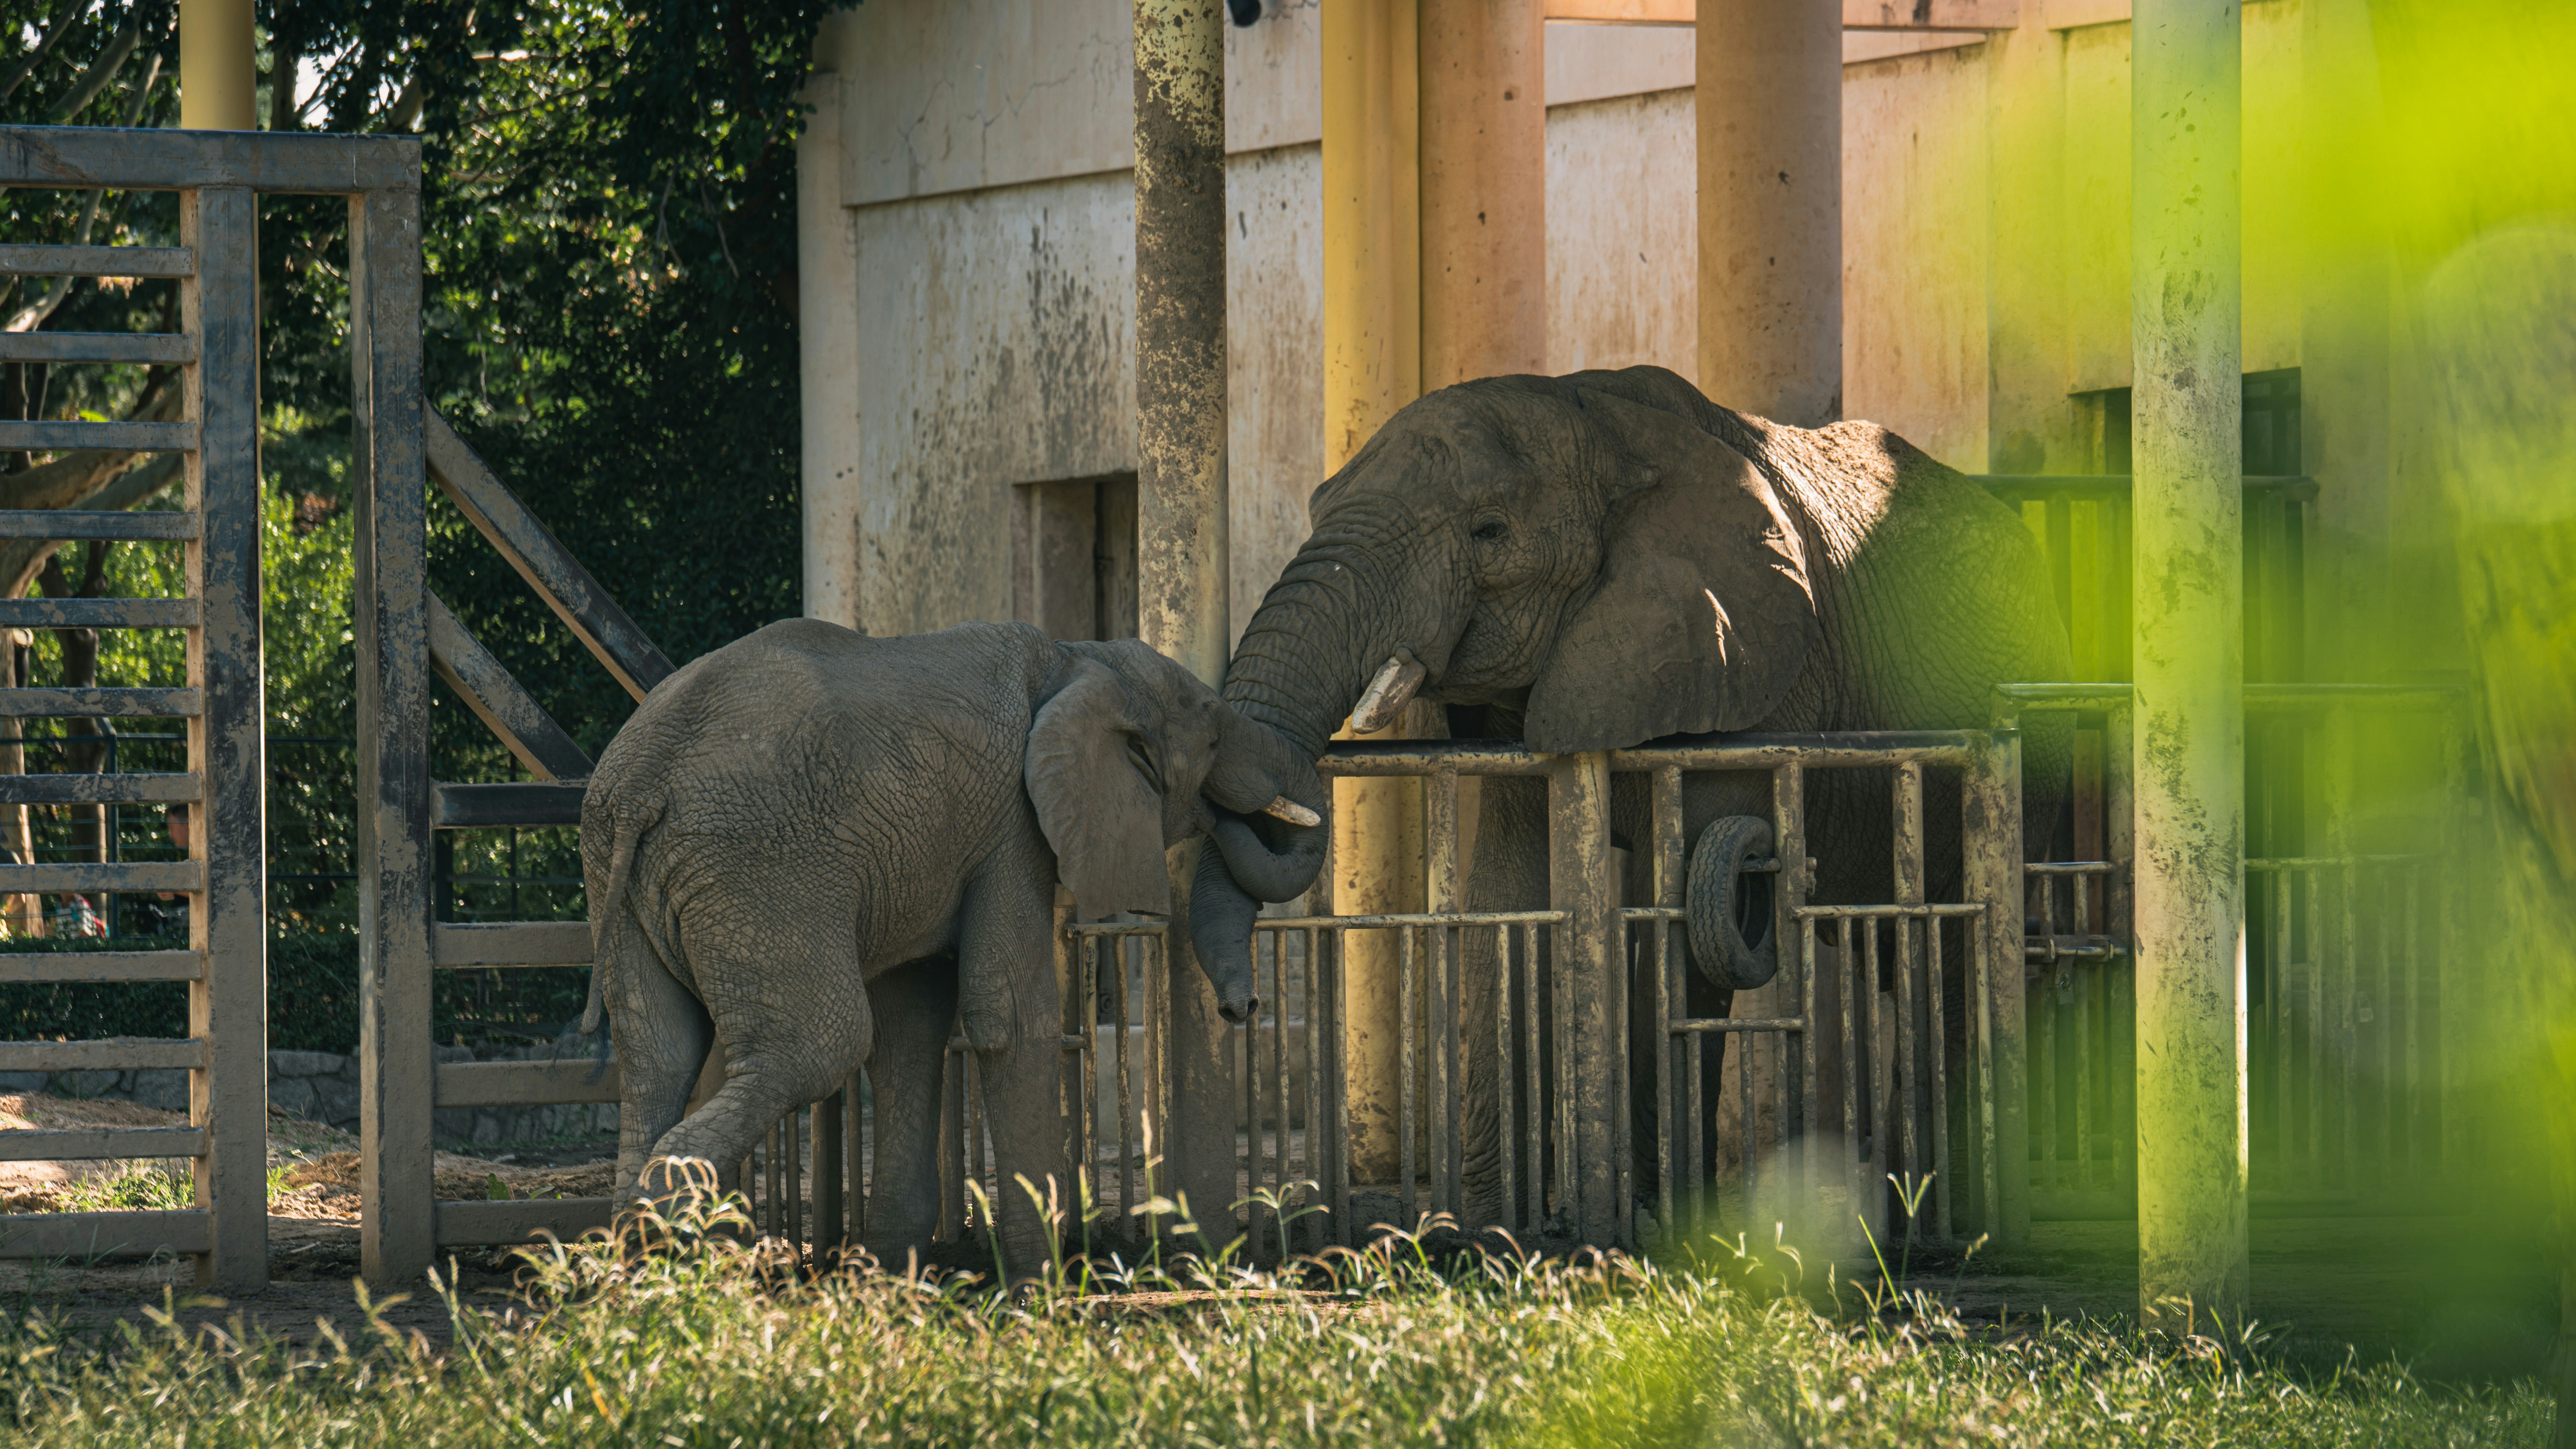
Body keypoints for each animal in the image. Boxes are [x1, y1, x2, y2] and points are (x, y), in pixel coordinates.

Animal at [578, 618, 1324, 1272]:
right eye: (1213, 729)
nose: (1243, 1009)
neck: (1079, 658)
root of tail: (641, 780)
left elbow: (910, 1026)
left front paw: (885, 1278)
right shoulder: (1012, 829)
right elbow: (1010, 1018)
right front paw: (1044, 1288)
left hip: (623, 877)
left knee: (659, 1058)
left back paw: (638, 1284)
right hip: (758, 870)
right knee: (818, 1044)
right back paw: (668, 1252)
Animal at [1195, 364, 2072, 1231]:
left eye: (1489, 532)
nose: (1240, 1009)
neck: (1601, 420)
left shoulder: (1753, 679)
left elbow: (1681, 902)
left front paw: (1651, 1219)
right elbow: (1506, 899)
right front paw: (1484, 1232)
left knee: (1951, 960)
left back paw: (1940, 1218)